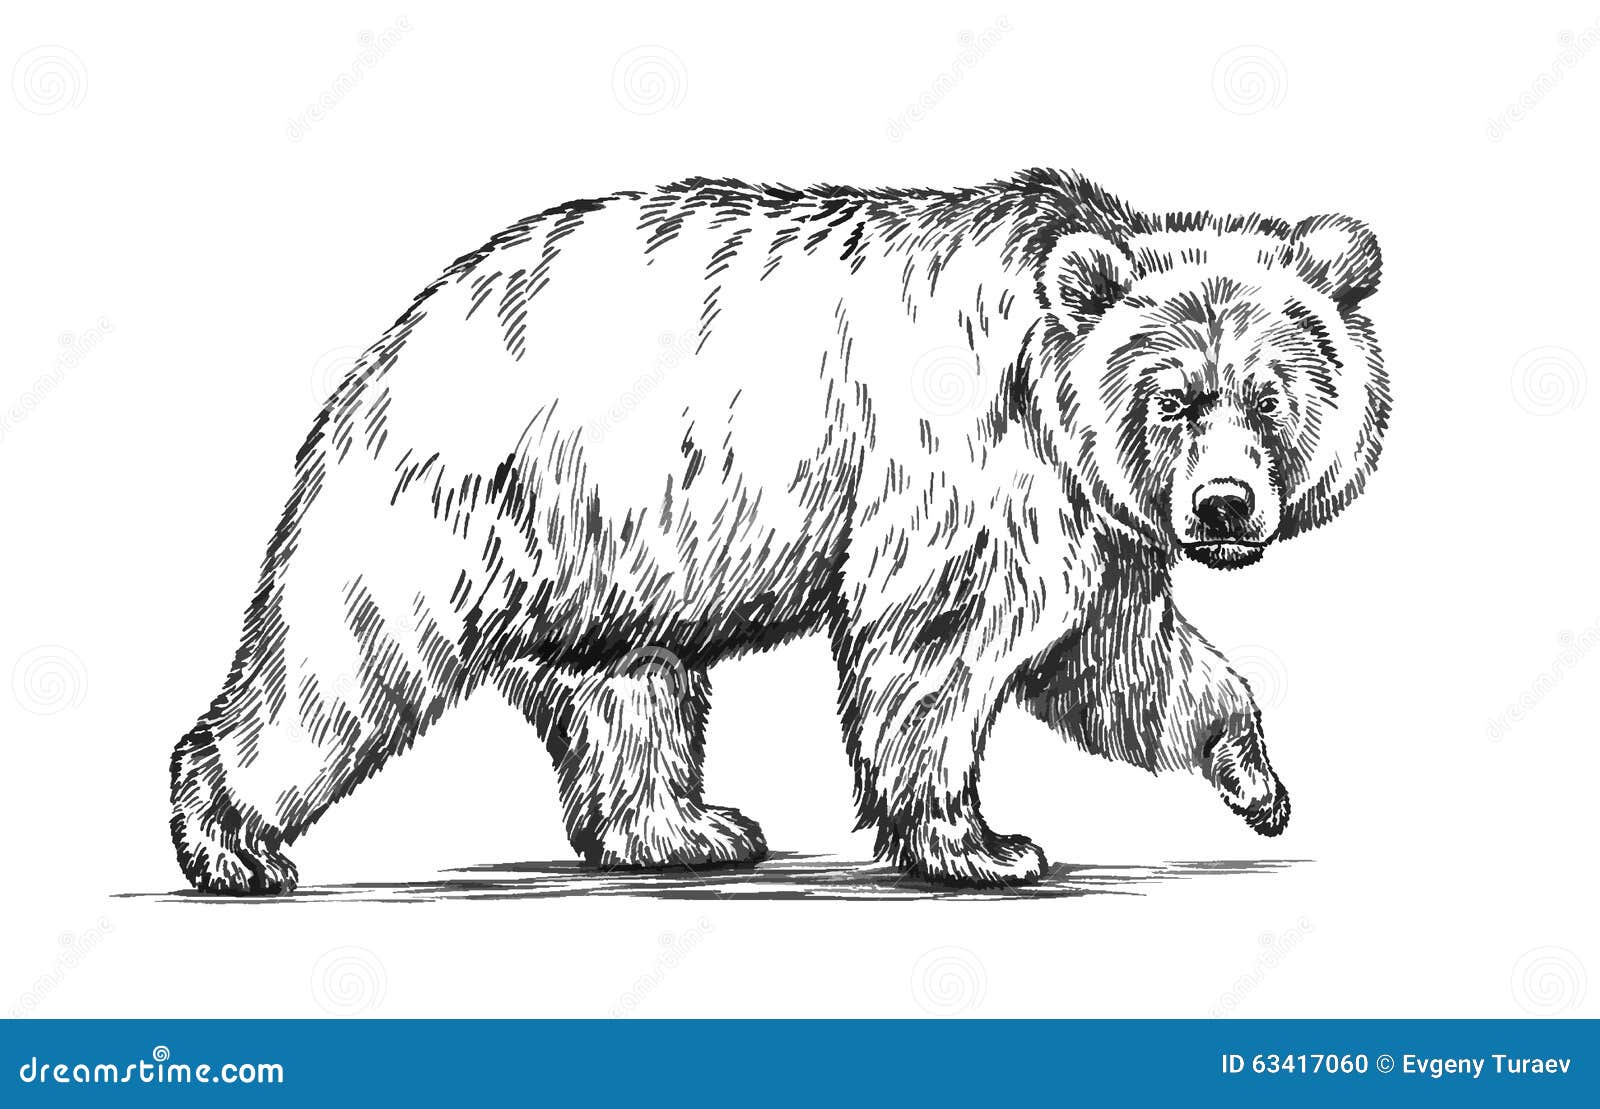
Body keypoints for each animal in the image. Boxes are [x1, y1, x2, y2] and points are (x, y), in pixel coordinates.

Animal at [170, 169, 1388, 894]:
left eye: (1271, 395)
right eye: (1172, 397)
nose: (1224, 507)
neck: (1048, 397)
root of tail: (400, 332)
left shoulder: (1096, 523)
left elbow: (1121, 659)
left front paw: (1256, 779)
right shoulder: (970, 466)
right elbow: (939, 643)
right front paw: (983, 842)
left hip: (614, 548)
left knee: (628, 687)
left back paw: (686, 827)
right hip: (464, 500)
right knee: (344, 661)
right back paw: (231, 836)